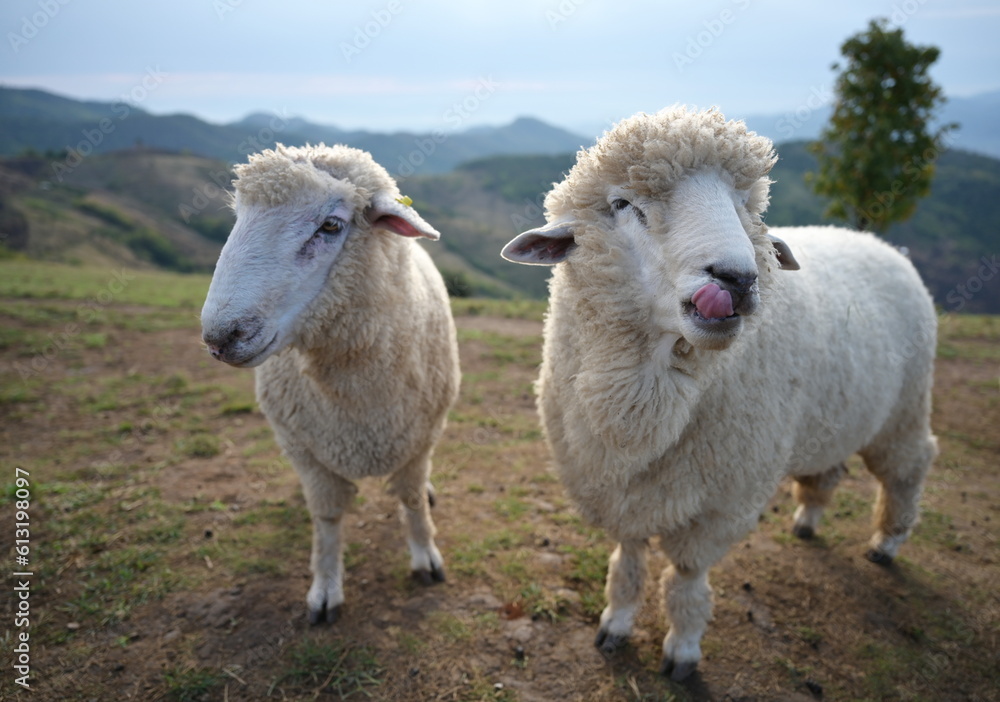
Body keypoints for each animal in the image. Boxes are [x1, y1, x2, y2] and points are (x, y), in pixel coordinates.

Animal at [201, 143, 460, 624]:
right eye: (237, 217)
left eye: (331, 225)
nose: (221, 337)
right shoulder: (306, 452)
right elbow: (326, 521)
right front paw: (325, 587)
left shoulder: (420, 439)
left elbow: (413, 500)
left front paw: (426, 557)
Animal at [501, 107, 937, 680]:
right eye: (623, 205)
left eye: (744, 207)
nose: (737, 278)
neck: (645, 403)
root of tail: (884, 246)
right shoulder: (616, 489)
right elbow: (629, 559)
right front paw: (616, 622)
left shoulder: (722, 500)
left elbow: (686, 577)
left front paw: (683, 649)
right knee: (830, 466)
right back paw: (808, 520)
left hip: (905, 408)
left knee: (909, 466)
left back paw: (887, 542)